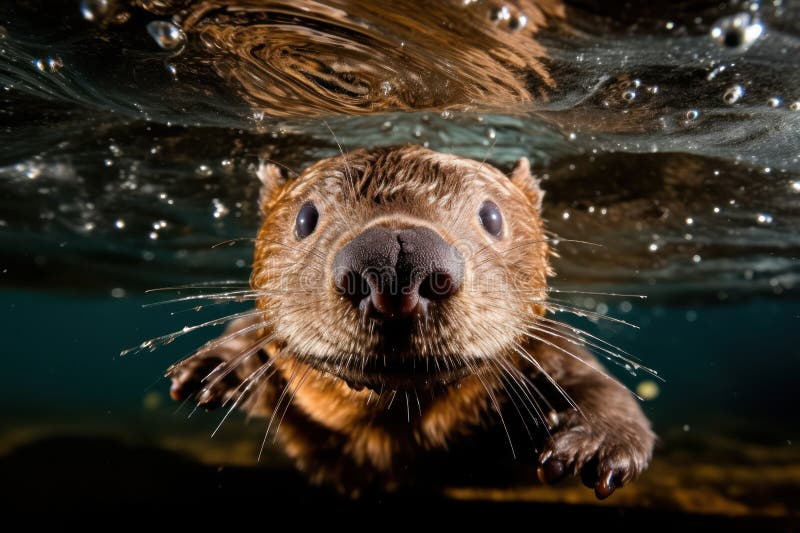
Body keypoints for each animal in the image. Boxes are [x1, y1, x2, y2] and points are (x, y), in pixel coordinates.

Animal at [167, 145, 654, 498]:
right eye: (305, 217)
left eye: (492, 216)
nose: (396, 261)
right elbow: (255, 333)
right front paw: (209, 371)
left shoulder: (539, 344)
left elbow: (590, 376)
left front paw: (594, 447)